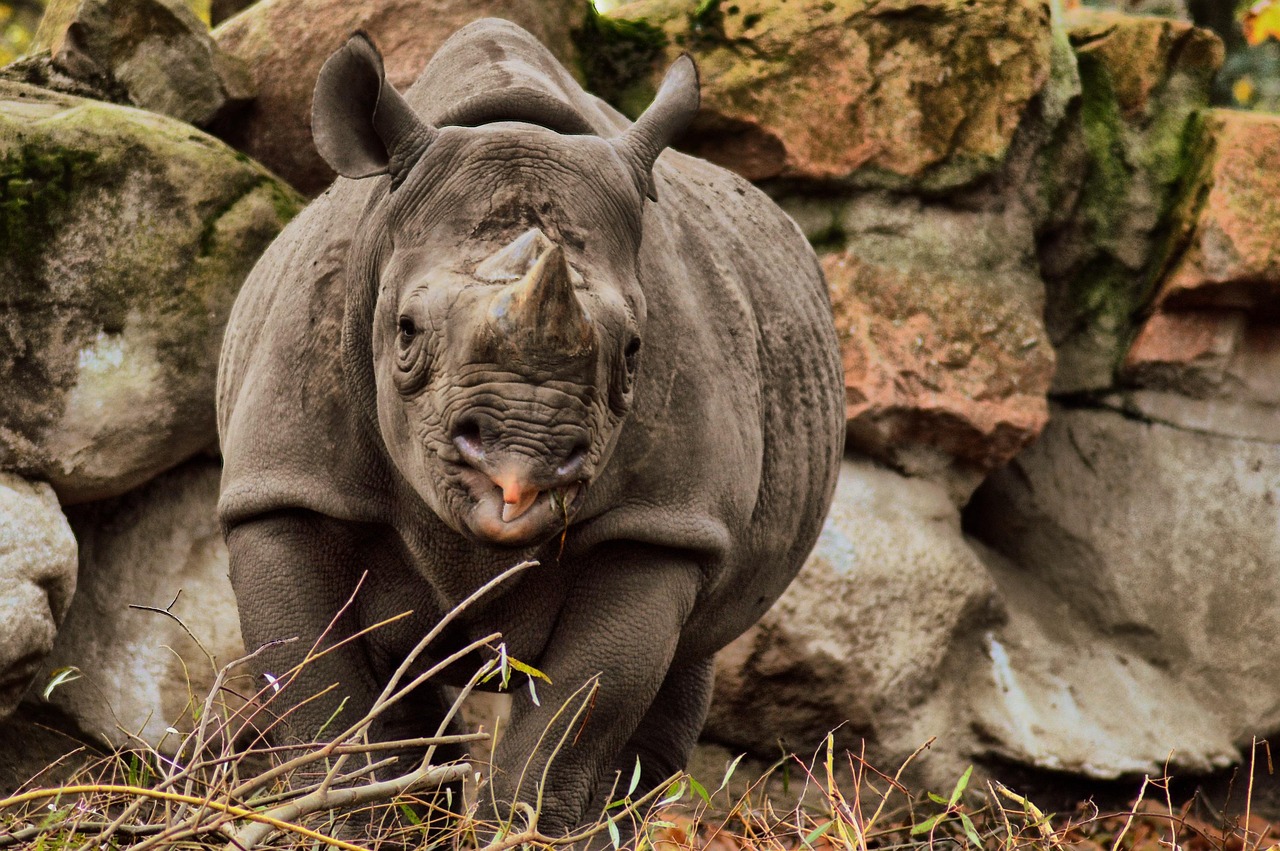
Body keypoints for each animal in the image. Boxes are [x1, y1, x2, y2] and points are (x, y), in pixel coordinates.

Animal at [217, 18, 843, 839]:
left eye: (633, 351)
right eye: (405, 332)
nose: (522, 470)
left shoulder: (658, 523)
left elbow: (576, 720)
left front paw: (522, 835)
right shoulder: (286, 485)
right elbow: (322, 702)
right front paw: (341, 832)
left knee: (683, 667)